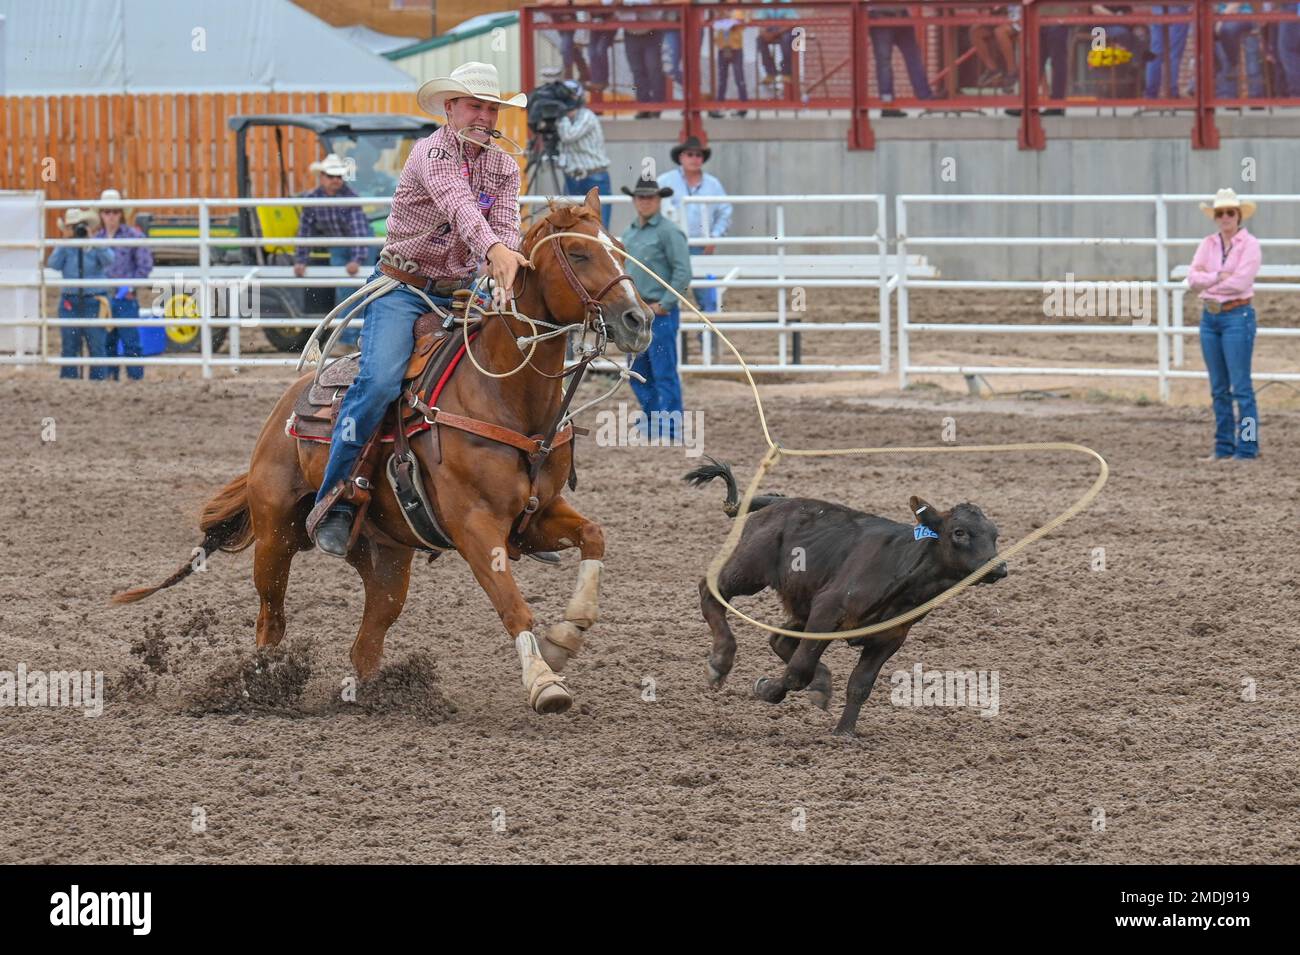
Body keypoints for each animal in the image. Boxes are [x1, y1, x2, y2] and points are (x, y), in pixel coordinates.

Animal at [685, 458, 1007, 736]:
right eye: (960, 532)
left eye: (994, 535)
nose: (999, 568)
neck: (903, 570)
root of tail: (779, 501)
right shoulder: (827, 610)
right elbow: (798, 670)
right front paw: (767, 689)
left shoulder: (890, 637)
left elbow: (860, 685)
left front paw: (844, 732)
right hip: (749, 569)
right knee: (711, 592)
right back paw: (720, 661)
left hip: (799, 603)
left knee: (780, 638)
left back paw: (821, 685)